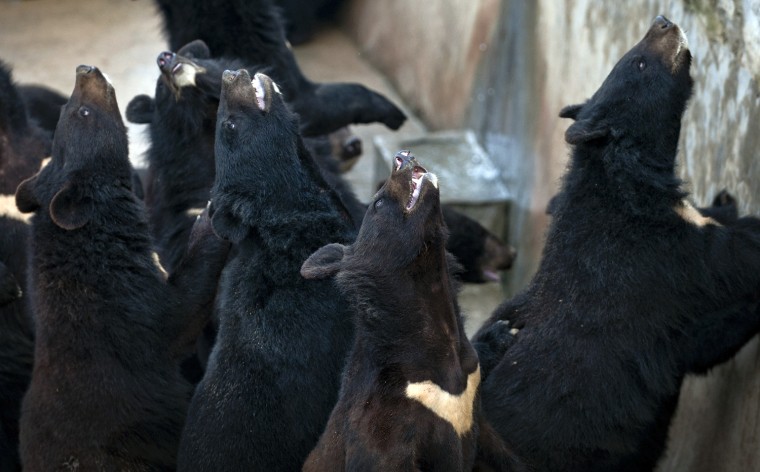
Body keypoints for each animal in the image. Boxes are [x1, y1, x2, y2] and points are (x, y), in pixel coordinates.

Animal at [14, 65, 229, 471]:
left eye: (67, 109)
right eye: (82, 112)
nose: (86, 69)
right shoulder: (128, 312)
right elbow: (177, 315)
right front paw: (207, 214)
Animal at [471, 16, 760, 472]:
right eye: (638, 62)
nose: (663, 21)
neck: (624, 175)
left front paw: (725, 200)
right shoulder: (665, 259)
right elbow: (726, 278)